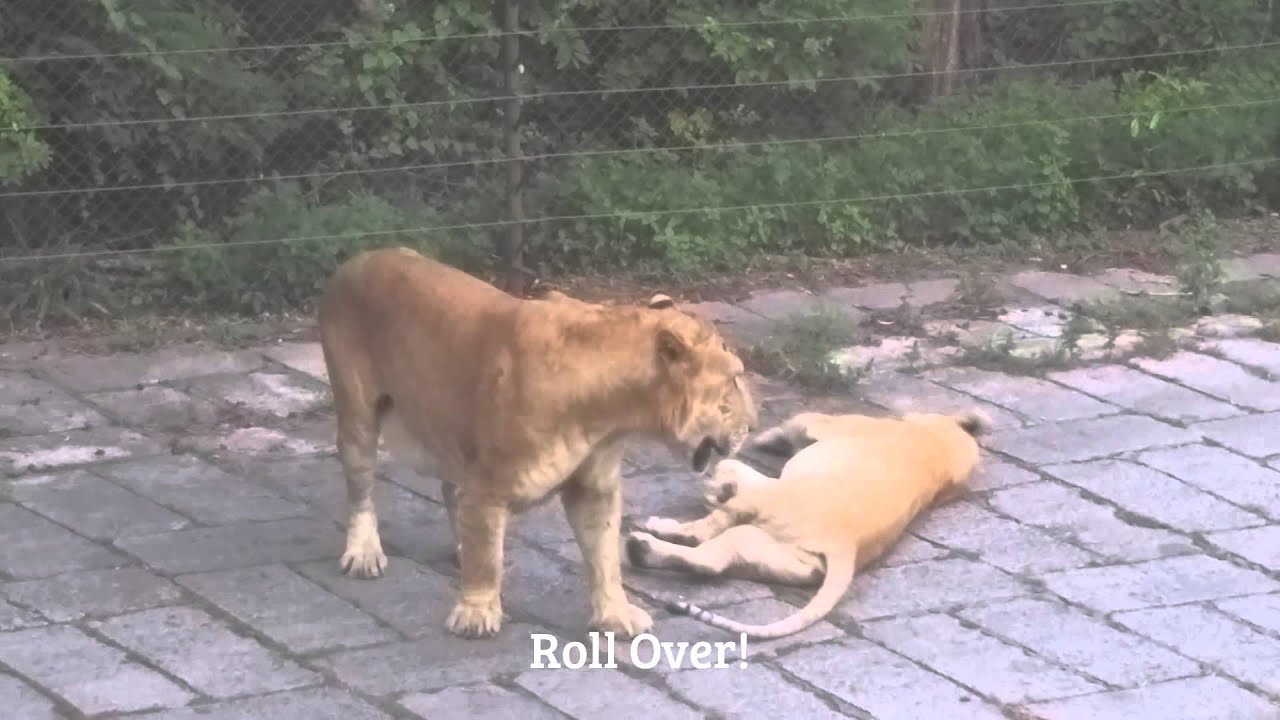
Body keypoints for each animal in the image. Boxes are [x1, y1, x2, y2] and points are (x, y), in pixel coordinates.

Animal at [316, 247, 756, 639]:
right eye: (734, 379)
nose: (754, 424)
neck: (611, 413)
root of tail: (354, 261)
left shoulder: (594, 489)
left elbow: (605, 556)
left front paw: (615, 616)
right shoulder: (488, 482)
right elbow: (488, 562)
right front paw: (476, 615)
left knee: (451, 492)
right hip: (357, 417)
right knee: (361, 488)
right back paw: (364, 553)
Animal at [625, 408, 988, 639]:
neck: (937, 443)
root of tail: (846, 544)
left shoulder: (826, 426)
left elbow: (795, 425)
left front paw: (764, 441)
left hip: (766, 508)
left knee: (708, 533)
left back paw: (657, 534)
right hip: (778, 553)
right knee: (716, 557)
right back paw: (647, 549)